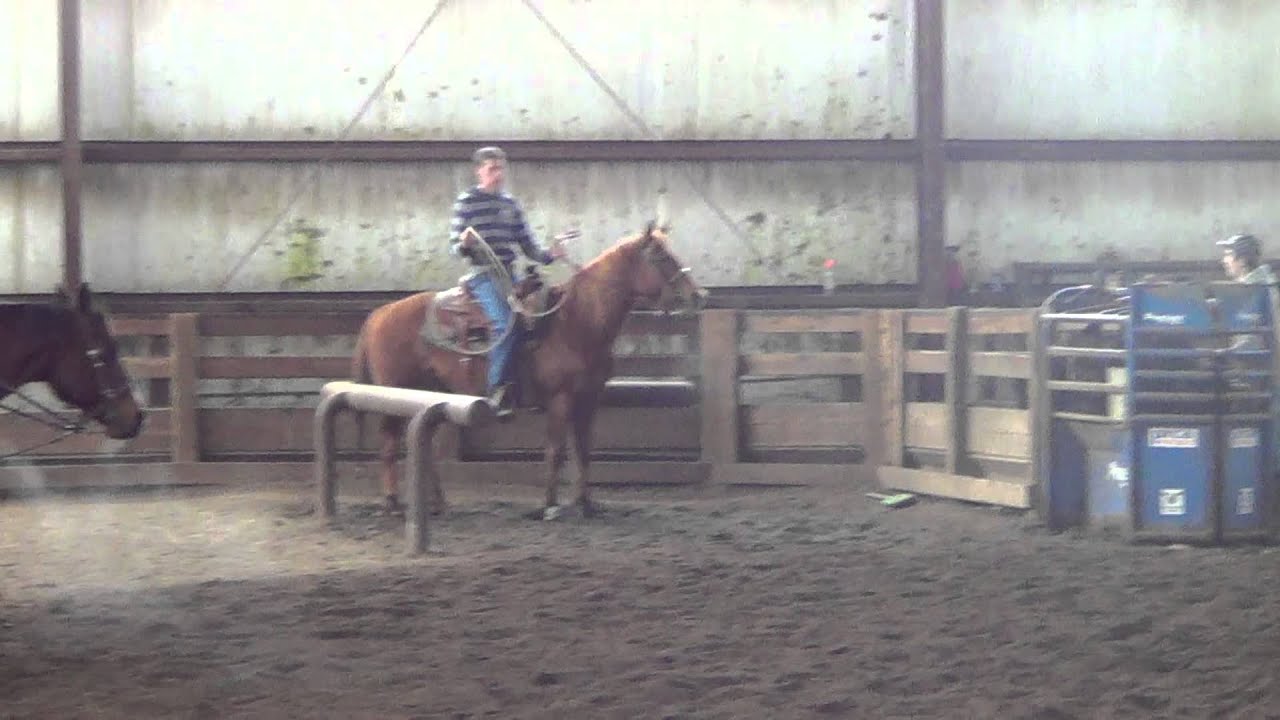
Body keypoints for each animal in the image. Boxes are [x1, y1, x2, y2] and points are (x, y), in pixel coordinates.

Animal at [351, 221, 707, 519]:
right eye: (660, 256)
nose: (698, 295)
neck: (576, 321)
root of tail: (379, 315)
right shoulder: (561, 398)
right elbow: (555, 450)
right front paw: (549, 506)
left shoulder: (589, 399)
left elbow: (583, 450)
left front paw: (586, 504)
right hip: (395, 393)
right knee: (388, 445)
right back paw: (392, 503)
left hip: (433, 394)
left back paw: (439, 505)